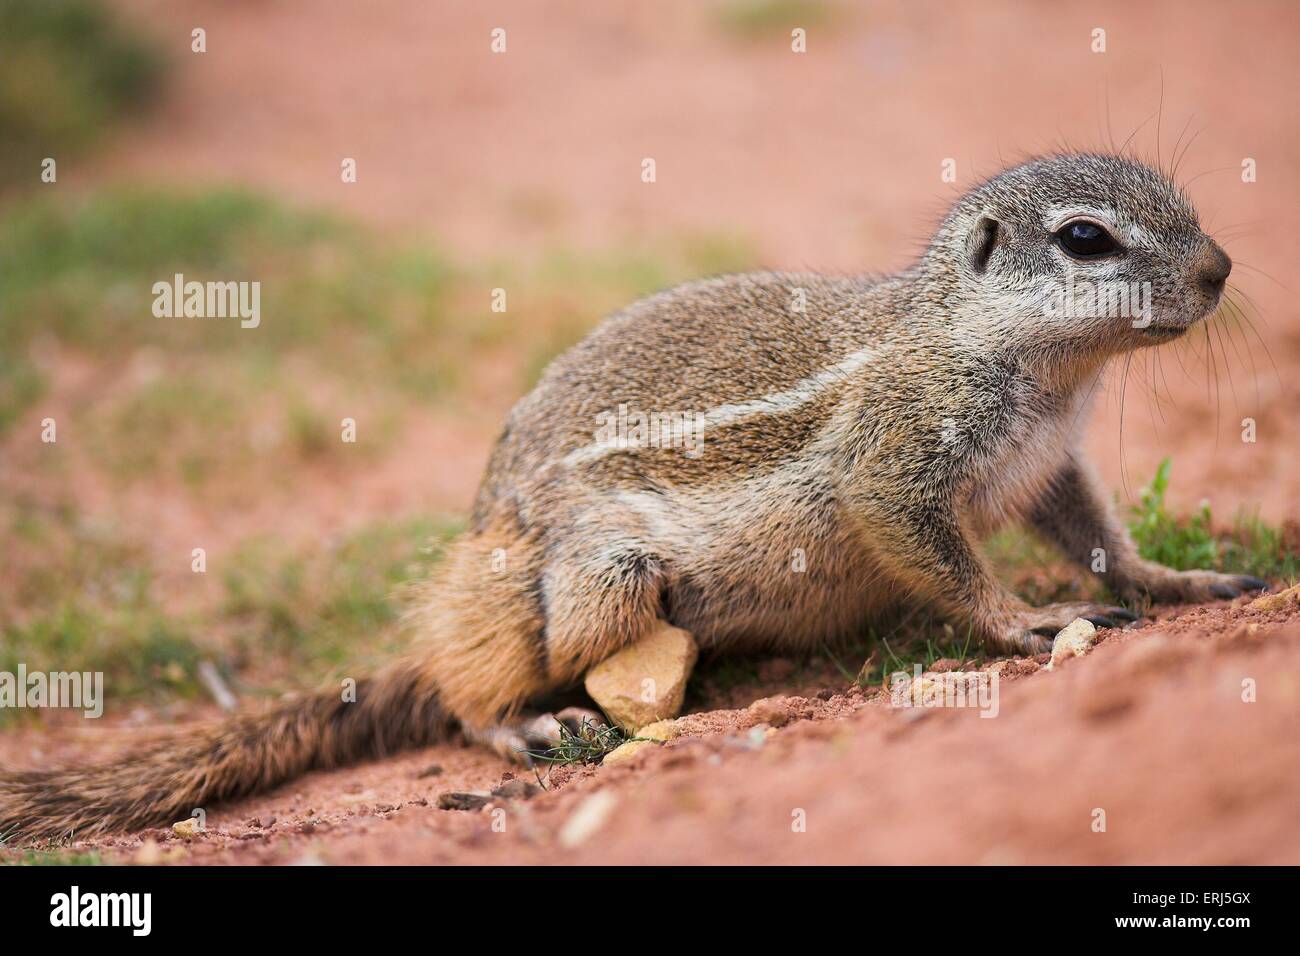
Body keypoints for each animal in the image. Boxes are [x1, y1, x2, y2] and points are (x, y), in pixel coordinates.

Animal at [1, 153, 1267, 842]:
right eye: (1086, 238)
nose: (1220, 268)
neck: (1028, 365)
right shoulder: (893, 461)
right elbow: (946, 558)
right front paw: (1034, 620)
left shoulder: (1049, 464)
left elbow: (1099, 537)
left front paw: (1179, 576)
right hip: (584, 579)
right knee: (467, 682)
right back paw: (525, 720)